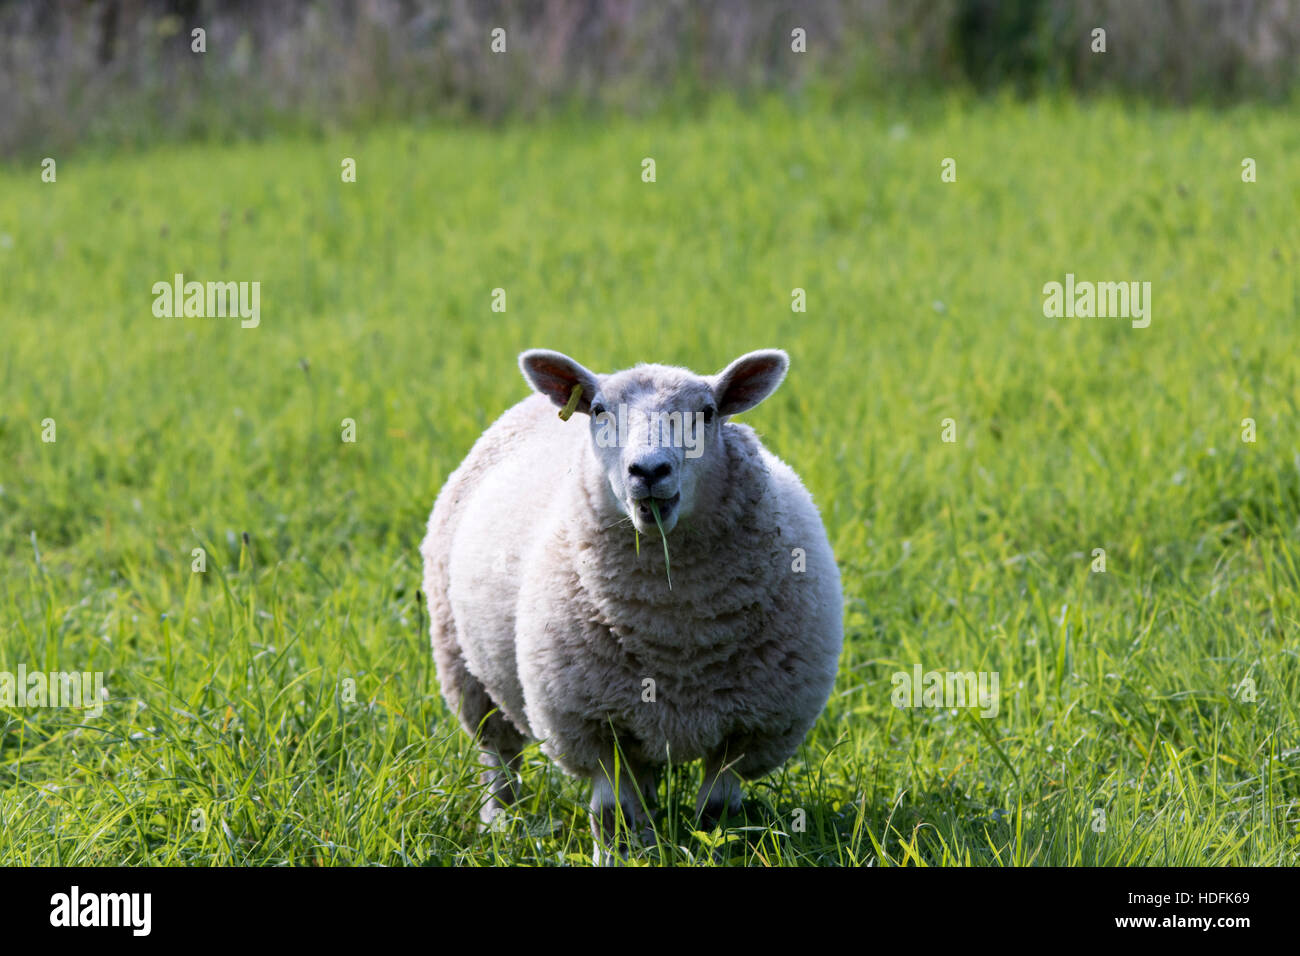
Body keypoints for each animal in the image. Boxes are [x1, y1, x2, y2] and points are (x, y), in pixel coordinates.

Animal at [420, 348, 843, 846]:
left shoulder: (750, 728)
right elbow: (612, 815)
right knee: (499, 754)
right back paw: (499, 822)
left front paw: (712, 847)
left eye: (708, 412)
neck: (675, 628)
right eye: (599, 411)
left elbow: (717, 811)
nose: (649, 470)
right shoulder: (592, 723)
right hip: (464, 670)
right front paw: (620, 850)